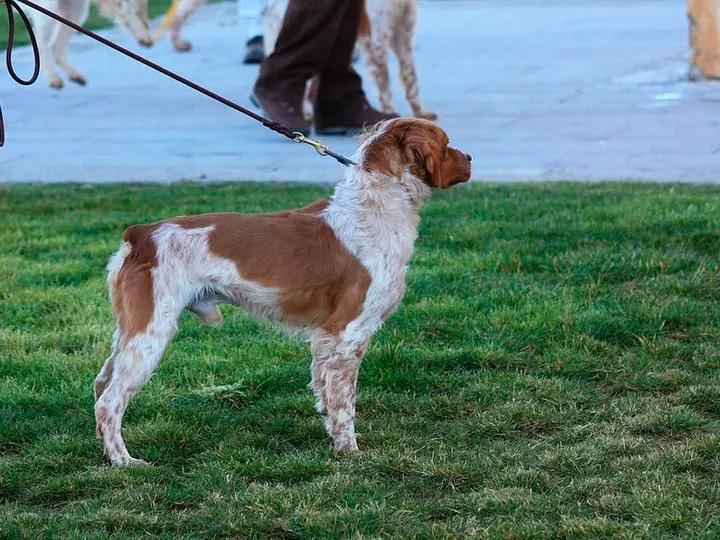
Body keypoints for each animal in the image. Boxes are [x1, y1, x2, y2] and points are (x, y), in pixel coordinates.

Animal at [93, 118, 470, 464]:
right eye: (446, 143)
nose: (469, 156)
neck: (372, 209)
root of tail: (141, 234)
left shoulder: (327, 341)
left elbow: (326, 395)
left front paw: (332, 435)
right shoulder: (346, 332)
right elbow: (344, 402)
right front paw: (349, 451)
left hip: (130, 332)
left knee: (100, 384)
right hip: (151, 333)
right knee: (110, 401)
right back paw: (124, 461)